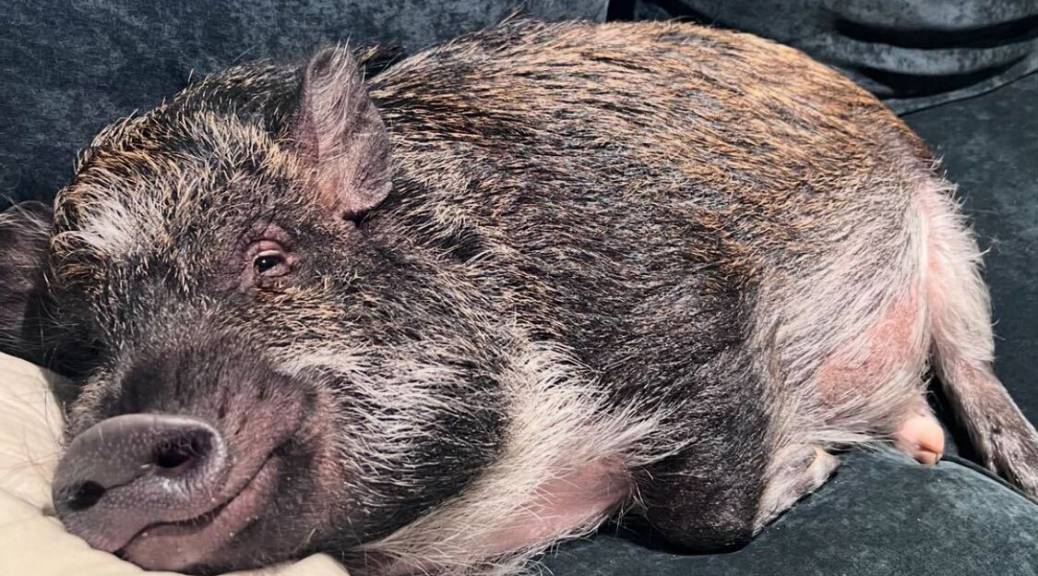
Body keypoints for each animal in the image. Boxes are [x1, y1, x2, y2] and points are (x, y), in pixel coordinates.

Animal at [1, 18, 1037, 576]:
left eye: (268, 258)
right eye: (81, 349)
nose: (111, 436)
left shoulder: (693, 311)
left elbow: (703, 514)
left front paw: (814, 465)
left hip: (944, 225)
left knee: (971, 361)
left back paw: (994, 461)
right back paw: (923, 448)